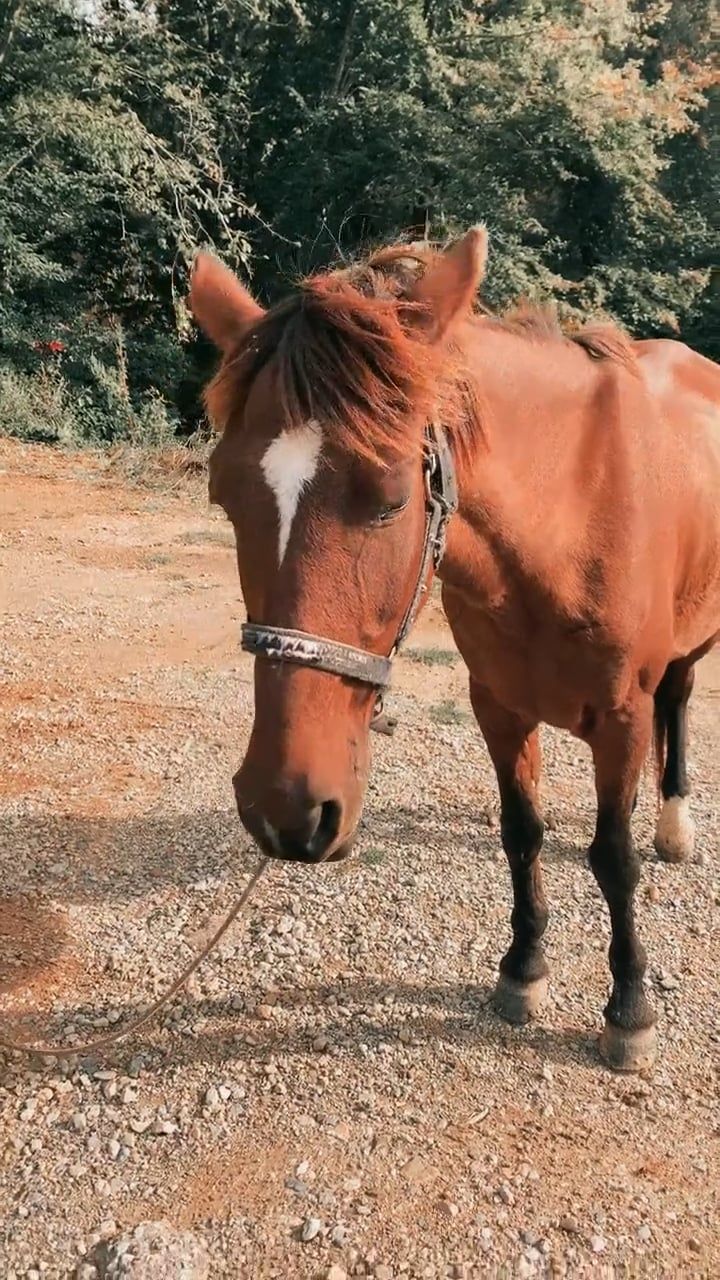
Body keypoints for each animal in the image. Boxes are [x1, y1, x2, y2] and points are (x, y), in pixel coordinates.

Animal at [190, 229, 720, 1072]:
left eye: (392, 497)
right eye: (223, 495)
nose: (286, 810)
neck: (570, 515)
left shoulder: (622, 716)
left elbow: (614, 858)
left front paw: (629, 1009)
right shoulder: (497, 707)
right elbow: (521, 833)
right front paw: (524, 970)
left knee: (680, 701)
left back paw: (673, 826)